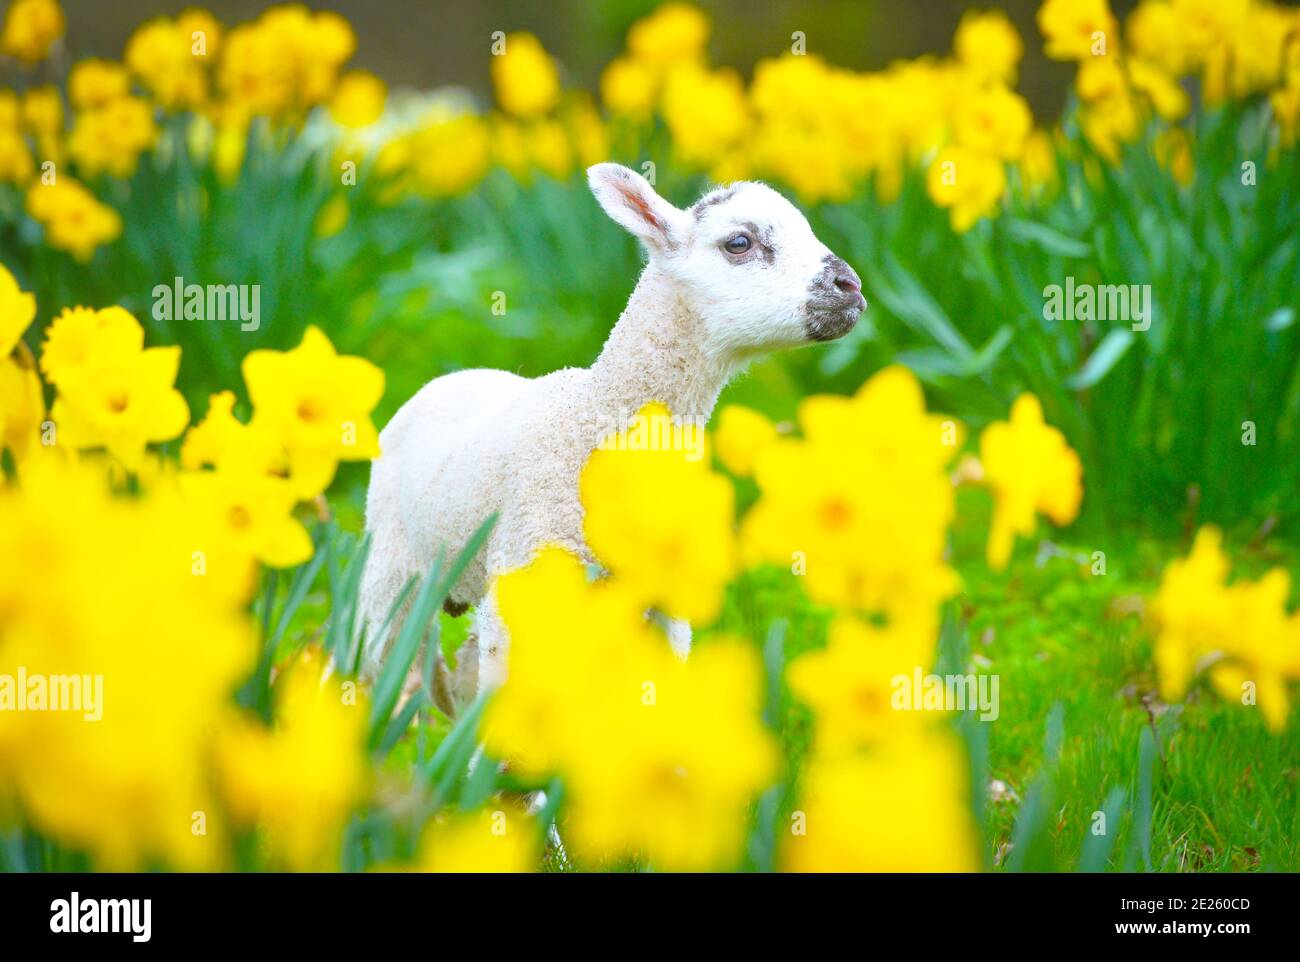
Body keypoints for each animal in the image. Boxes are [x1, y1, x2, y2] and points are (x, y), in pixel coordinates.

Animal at [359, 162, 866, 712]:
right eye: (739, 242)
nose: (851, 285)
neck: (595, 414)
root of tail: (453, 376)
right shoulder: (523, 580)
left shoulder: (665, 604)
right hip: (389, 565)